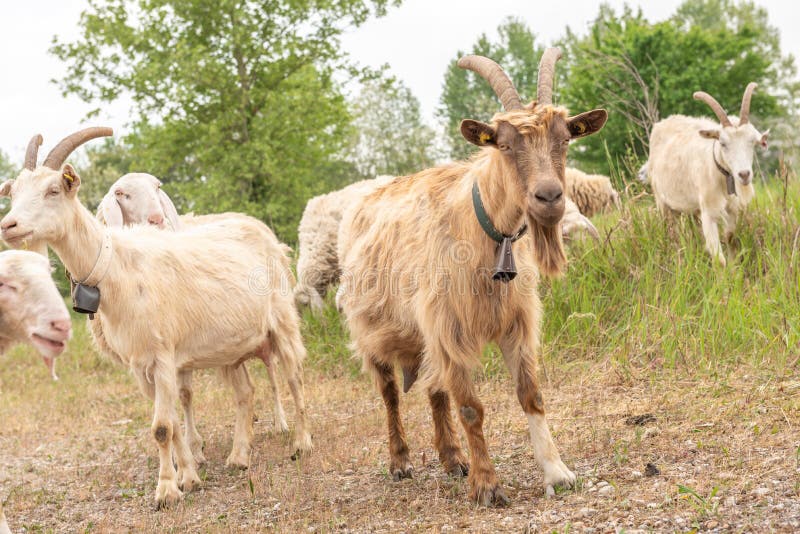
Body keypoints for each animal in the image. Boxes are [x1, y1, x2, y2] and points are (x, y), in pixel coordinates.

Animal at [0, 129, 312, 509]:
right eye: (13, 193)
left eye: (53, 190)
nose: (9, 226)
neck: (116, 266)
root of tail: (266, 236)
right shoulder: (140, 365)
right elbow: (172, 423)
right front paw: (188, 477)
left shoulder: (164, 356)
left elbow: (162, 427)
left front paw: (166, 491)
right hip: (229, 347)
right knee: (245, 392)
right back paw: (239, 456)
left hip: (283, 321)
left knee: (294, 376)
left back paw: (301, 444)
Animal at [337, 49, 607, 506]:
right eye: (505, 144)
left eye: (565, 139)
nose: (550, 197)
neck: (487, 234)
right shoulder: (452, 326)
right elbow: (470, 407)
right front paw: (488, 486)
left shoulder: (515, 322)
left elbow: (531, 395)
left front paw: (557, 472)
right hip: (372, 329)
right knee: (390, 393)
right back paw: (401, 462)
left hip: (425, 334)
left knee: (434, 389)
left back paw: (452, 459)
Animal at [641, 83, 769, 264]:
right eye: (722, 143)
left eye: (752, 142)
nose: (744, 174)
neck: (722, 177)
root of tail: (664, 122)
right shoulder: (709, 212)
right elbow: (718, 259)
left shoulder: (733, 209)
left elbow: (730, 237)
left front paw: (734, 266)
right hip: (662, 202)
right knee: (670, 232)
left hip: (692, 206)